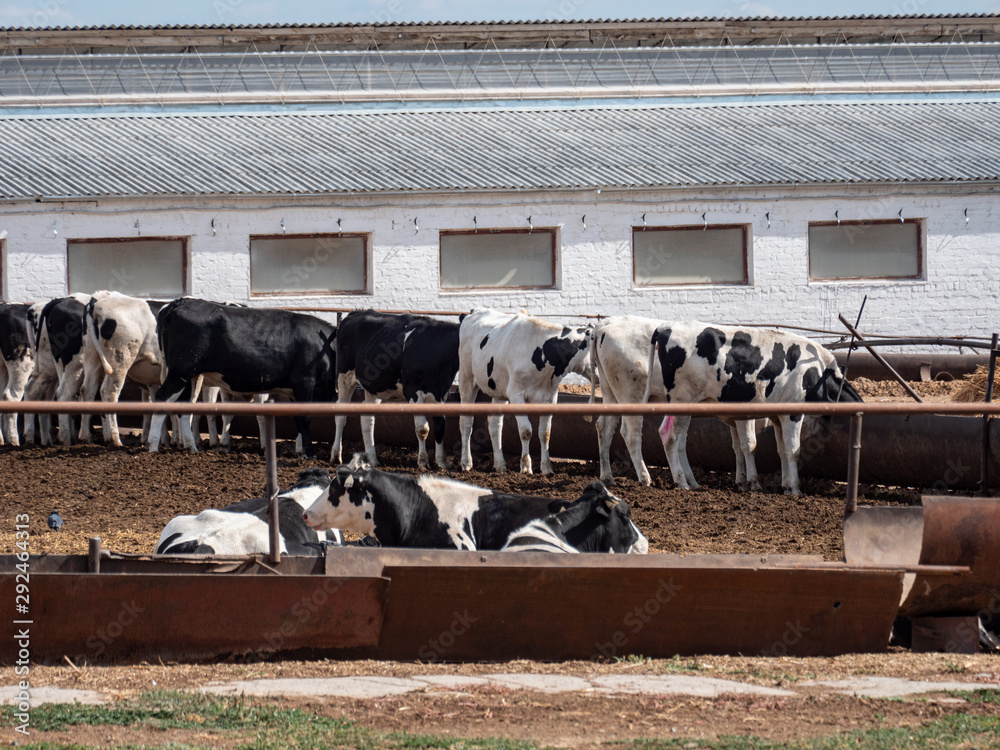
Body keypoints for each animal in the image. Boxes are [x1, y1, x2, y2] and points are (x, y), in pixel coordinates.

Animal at [81, 291, 165, 447]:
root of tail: (101, 296)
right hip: (120, 361)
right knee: (109, 393)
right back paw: (116, 439)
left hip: (92, 357)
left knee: (88, 390)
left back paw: (86, 437)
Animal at [147, 298, 337, 457]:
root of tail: (180, 302)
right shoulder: (304, 381)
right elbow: (304, 417)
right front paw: (309, 453)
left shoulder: (295, 389)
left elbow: (297, 416)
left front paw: (300, 450)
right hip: (179, 373)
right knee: (162, 398)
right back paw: (153, 446)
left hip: (188, 377)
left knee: (184, 405)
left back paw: (191, 446)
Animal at [331, 309, 460, 469]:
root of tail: (355, 312)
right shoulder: (412, 391)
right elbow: (422, 429)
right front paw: (423, 461)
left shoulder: (441, 393)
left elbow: (440, 426)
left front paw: (442, 462)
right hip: (344, 377)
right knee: (341, 414)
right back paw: (336, 455)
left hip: (374, 387)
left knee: (367, 418)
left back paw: (372, 459)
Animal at [458, 309, 593, 475]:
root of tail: (473, 311)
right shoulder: (516, 395)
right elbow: (526, 431)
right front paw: (526, 467)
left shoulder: (551, 398)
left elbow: (545, 433)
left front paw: (547, 468)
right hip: (467, 380)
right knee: (466, 422)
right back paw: (466, 463)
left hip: (499, 390)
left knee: (495, 424)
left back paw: (500, 465)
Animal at [643, 322, 862, 496]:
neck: (818, 373)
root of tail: (665, 327)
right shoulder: (792, 413)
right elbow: (793, 450)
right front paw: (794, 489)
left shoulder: (778, 416)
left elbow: (782, 450)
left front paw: (785, 486)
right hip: (681, 399)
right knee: (669, 436)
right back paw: (681, 482)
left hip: (686, 406)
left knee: (680, 441)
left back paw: (693, 482)